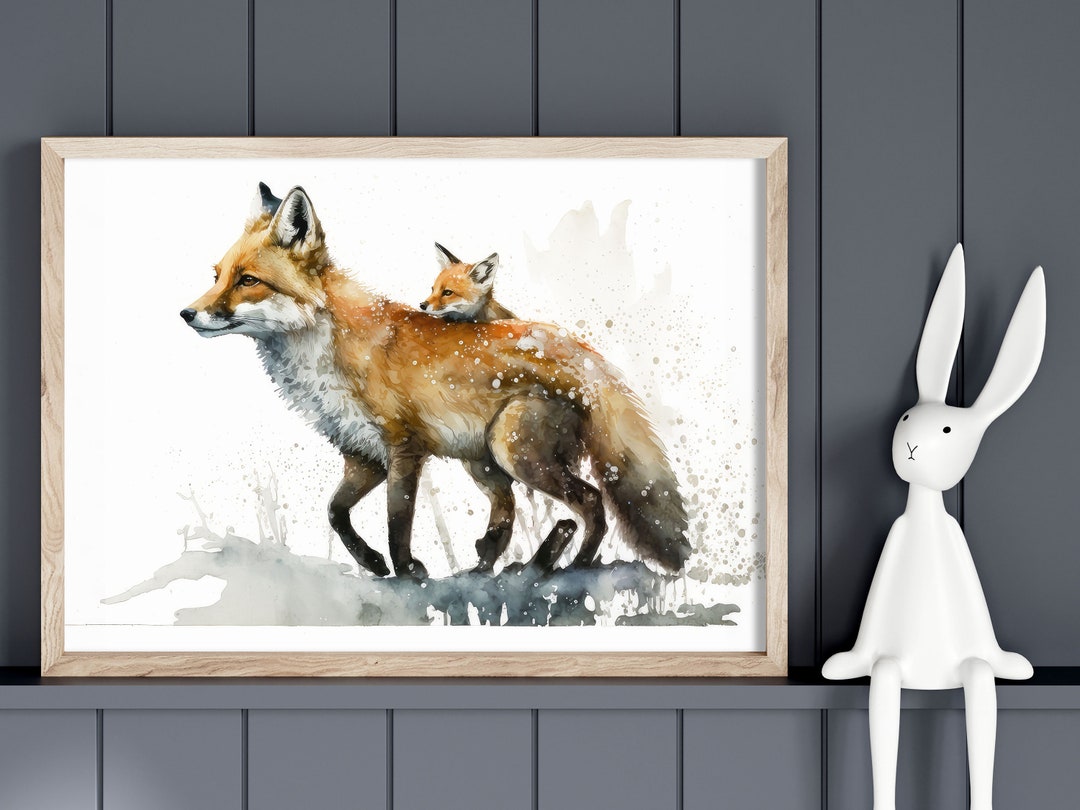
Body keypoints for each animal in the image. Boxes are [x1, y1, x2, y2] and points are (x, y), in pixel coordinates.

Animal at [181, 182, 691, 580]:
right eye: (217, 276)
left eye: (248, 280)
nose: (187, 314)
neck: (328, 350)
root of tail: (579, 351)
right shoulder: (362, 455)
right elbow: (336, 513)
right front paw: (372, 562)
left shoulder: (403, 447)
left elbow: (396, 521)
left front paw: (407, 570)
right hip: (483, 463)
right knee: (509, 513)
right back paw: (501, 564)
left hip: (515, 451)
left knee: (590, 503)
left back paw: (573, 565)